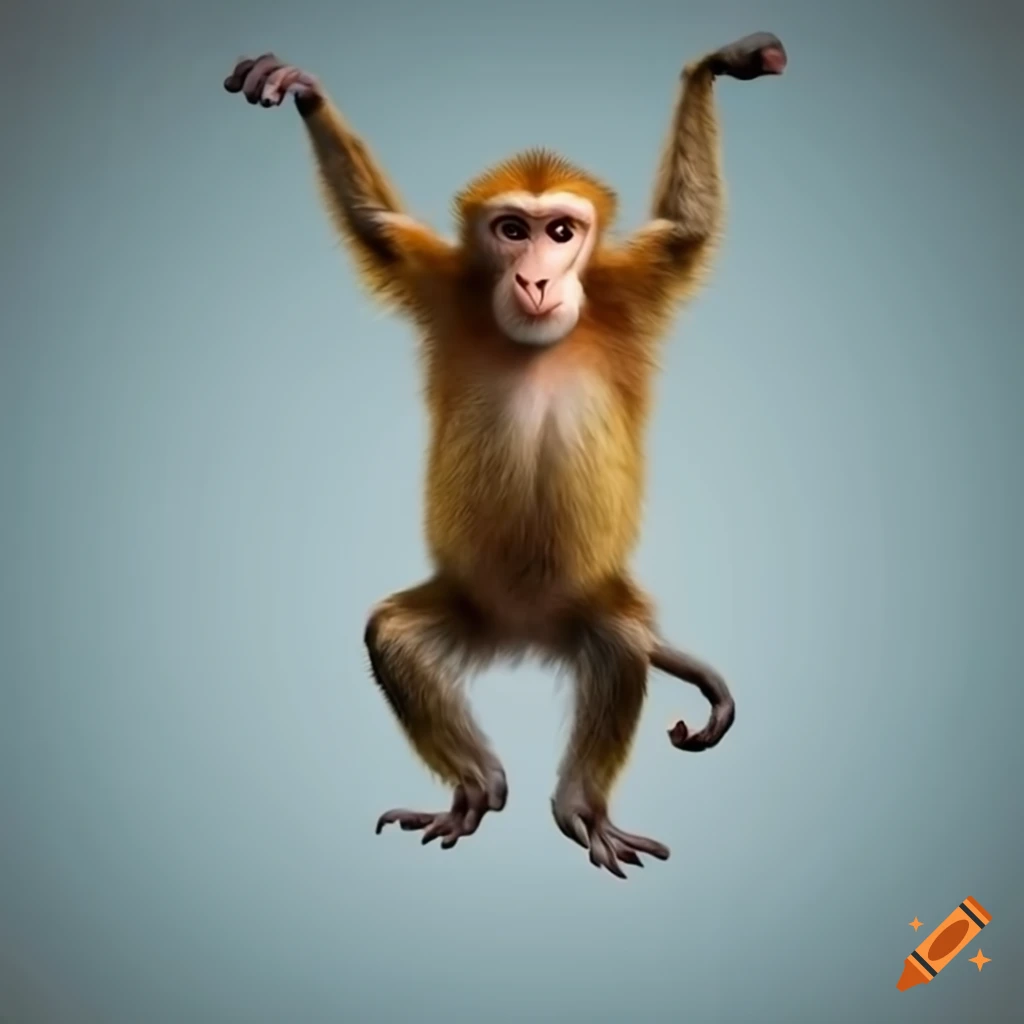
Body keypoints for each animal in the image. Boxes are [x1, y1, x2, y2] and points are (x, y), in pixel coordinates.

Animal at [224, 32, 786, 879]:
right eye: (512, 231)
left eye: (561, 233)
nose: (535, 279)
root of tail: (526, 635)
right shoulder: (445, 283)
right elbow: (376, 227)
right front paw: (304, 91)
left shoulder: (627, 287)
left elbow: (685, 228)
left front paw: (719, 64)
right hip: (470, 605)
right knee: (395, 637)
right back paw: (476, 786)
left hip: (590, 602)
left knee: (618, 648)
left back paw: (580, 804)